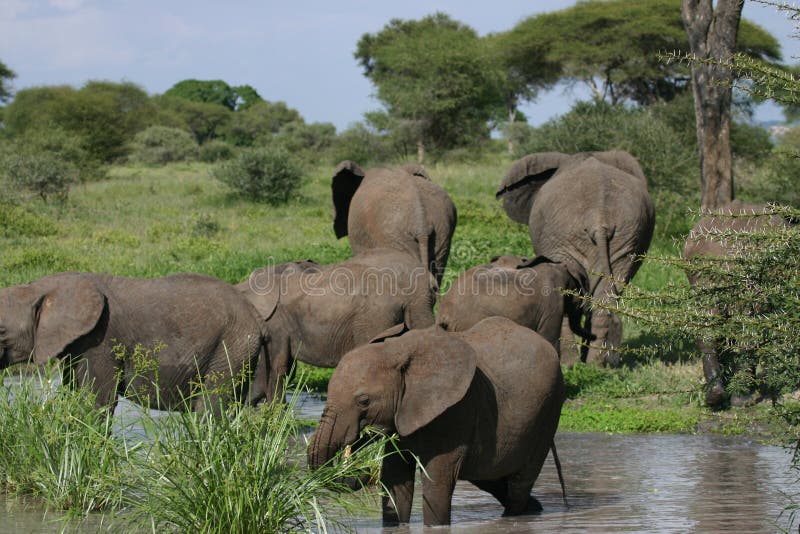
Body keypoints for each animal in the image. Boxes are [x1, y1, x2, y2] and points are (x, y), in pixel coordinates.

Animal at [0, 272, 264, 414]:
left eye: (1, 331)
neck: (38, 287)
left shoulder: (101, 339)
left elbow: (97, 401)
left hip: (232, 346)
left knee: (209, 406)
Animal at [308, 317, 565, 526]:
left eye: (364, 401)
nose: (358, 471)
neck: (398, 350)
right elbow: (395, 482)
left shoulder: (455, 412)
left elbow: (436, 484)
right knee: (487, 476)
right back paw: (535, 508)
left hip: (548, 412)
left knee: (520, 483)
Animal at [436, 254, 591, 353]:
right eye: (585, 284)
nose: (594, 336)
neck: (559, 265)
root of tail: (444, 314)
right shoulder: (552, 305)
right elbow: (550, 340)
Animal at [496, 150, 655, 366]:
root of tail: (599, 217)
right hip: (628, 236)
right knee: (605, 299)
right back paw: (596, 365)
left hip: (562, 238)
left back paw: (569, 364)